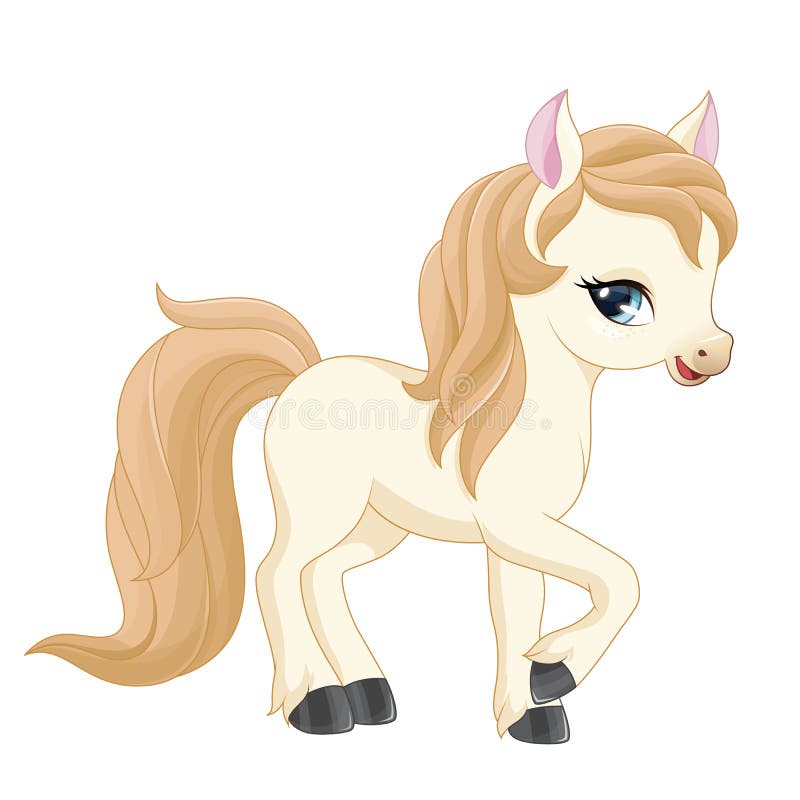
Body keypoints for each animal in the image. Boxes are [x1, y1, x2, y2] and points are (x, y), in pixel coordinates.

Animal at [29, 91, 737, 744]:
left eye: (712, 275)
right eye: (619, 299)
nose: (716, 351)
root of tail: (300, 377)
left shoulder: (515, 537)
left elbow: (517, 613)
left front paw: (531, 712)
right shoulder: (513, 522)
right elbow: (622, 576)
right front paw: (555, 671)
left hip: (376, 525)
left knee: (322, 574)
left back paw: (367, 695)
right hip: (322, 509)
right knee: (277, 571)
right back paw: (314, 705)